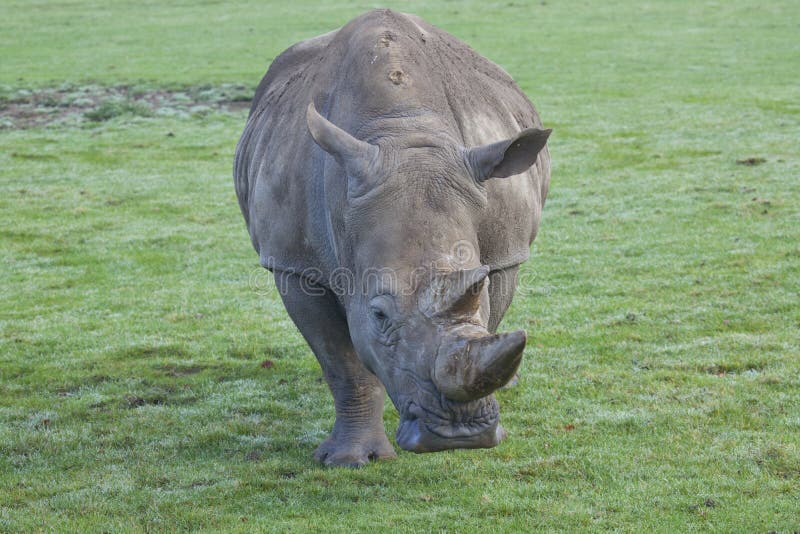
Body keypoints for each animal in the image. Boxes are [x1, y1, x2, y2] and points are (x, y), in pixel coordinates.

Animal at [234, 9, 551, 466]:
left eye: (480, 283)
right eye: (380, 315)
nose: (459, 434)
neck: (405, 131)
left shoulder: (504, 253)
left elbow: (485, 322)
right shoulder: (294, 264)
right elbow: (343, 366)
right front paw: (347, 460)